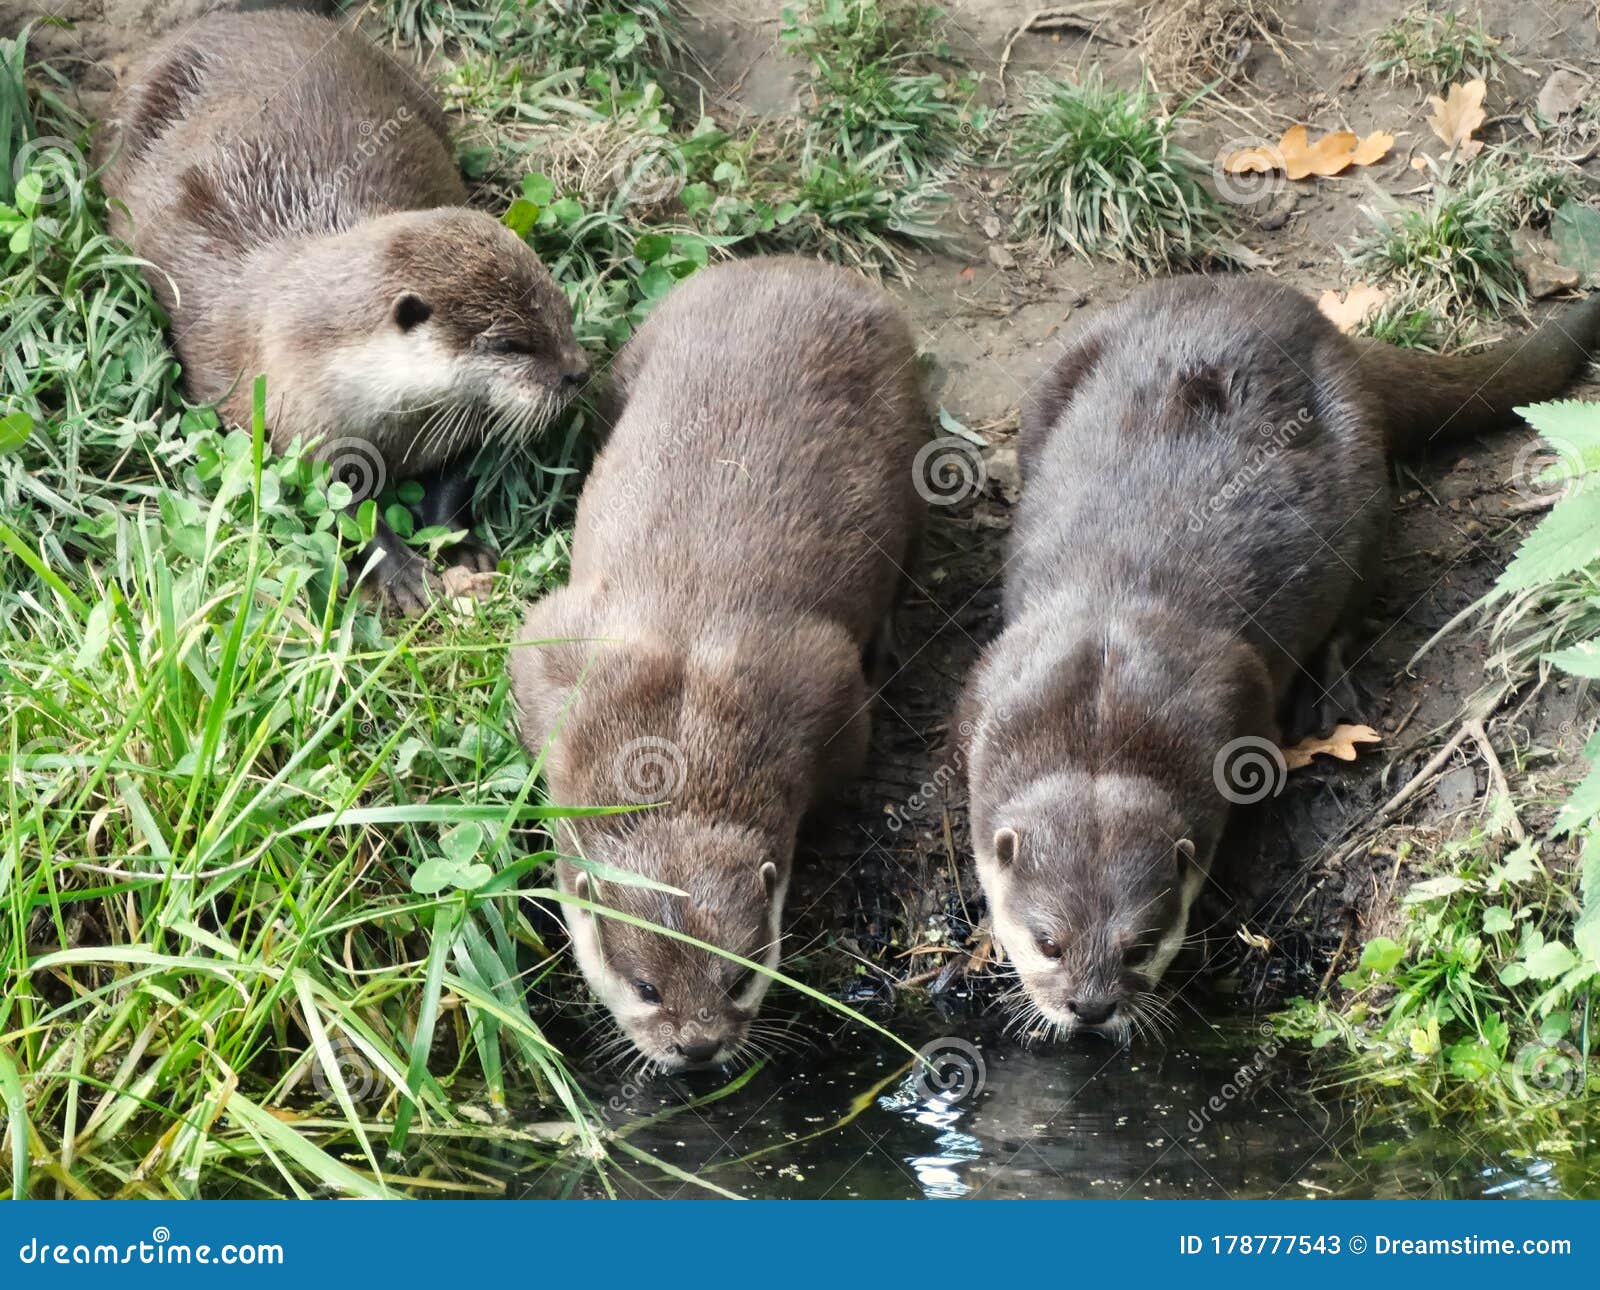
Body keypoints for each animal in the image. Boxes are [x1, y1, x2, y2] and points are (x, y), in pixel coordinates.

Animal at [99, 11, 587, 613]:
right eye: (508, 343)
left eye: (561, 307)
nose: (578, 372)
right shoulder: (298, 420)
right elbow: (341, 507)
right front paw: (403, 573)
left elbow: (452, 478)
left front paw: (462, 544)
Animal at [509, 257, 925, 1073]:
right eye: (645, 987)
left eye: (738, 979)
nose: (698, 1046)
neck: (680, 726)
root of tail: (798, 265)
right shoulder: (555, 650)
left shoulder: (818, 680)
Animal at [960, 277, 1600, 1043]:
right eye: (1048, 941)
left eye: (1140, 945)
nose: (1089, 1005)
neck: (1100, 699)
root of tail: (1320, 324)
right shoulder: (989, 682)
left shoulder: (1237, 704)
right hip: (1060, 372)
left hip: (1361, 477)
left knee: (1352, 597)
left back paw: (1325, 697)